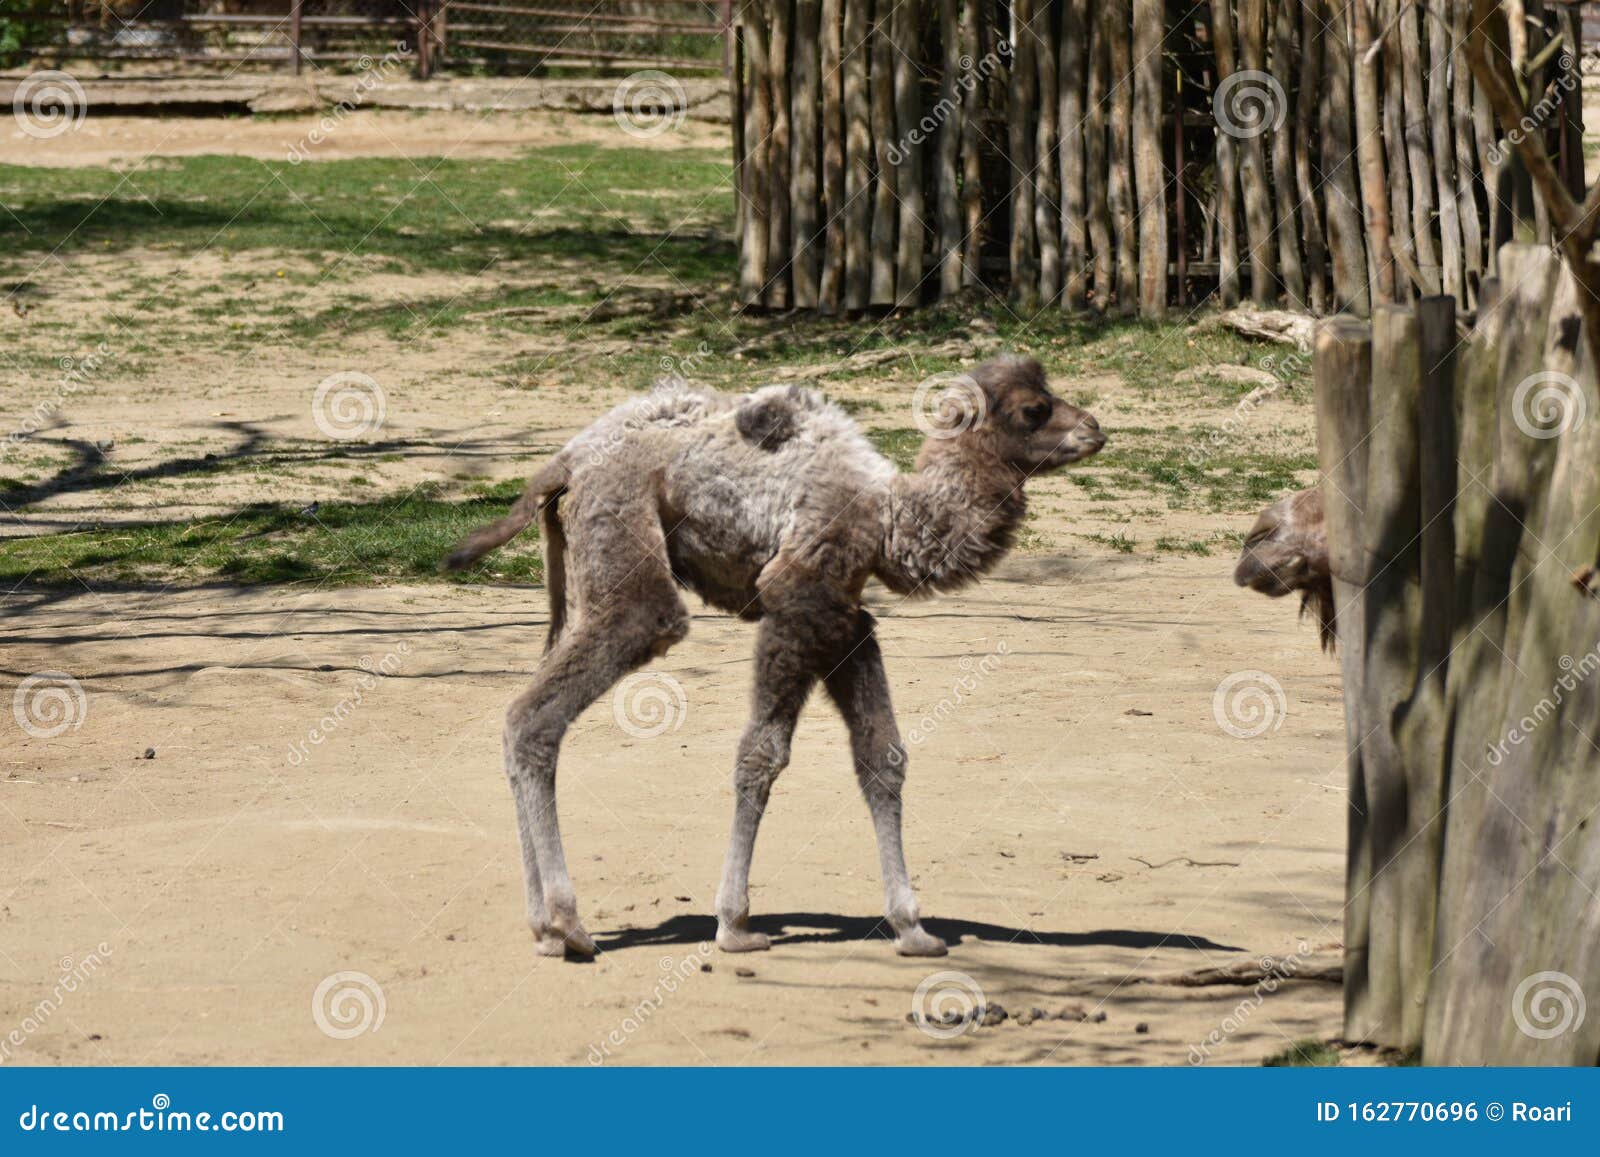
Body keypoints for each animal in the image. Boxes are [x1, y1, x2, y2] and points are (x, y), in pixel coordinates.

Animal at [444, 356, 1106, 959]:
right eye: (1033, 410)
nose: (1095, 428)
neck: (889, 517)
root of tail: (564, 462)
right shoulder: (797, 596)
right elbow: (761, 755)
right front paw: (734, 924)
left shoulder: (844, 619)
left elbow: (882, 756)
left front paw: (913, 929)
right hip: (626, 542)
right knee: (547, 705)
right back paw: (569, 923)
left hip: (572, 571)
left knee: (525, 712)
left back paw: (544, 931)